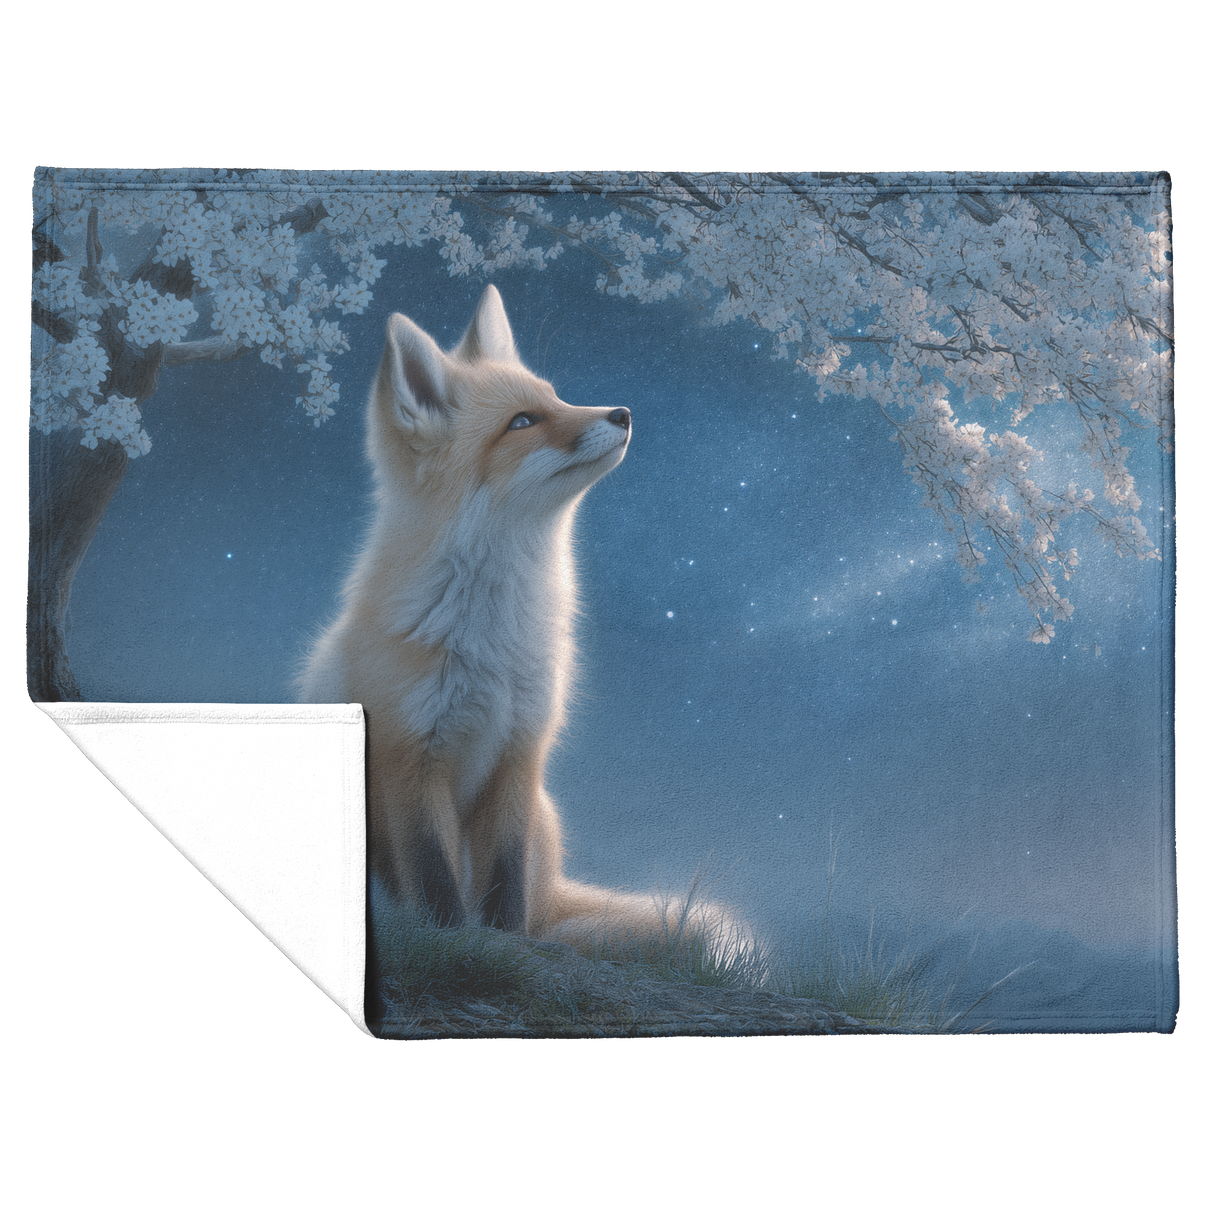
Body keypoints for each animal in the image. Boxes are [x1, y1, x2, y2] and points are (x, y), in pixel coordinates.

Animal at [300, 285, 742, 971]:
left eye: (557, 398)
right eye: (522, 423)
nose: (623, 413)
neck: (496, 640)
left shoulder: (519, 755)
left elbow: (504, 890)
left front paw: (506, 949)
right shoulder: (410, 760)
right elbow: (436, 887)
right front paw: (451, 944)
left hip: (542, 818)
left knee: (536, 909)